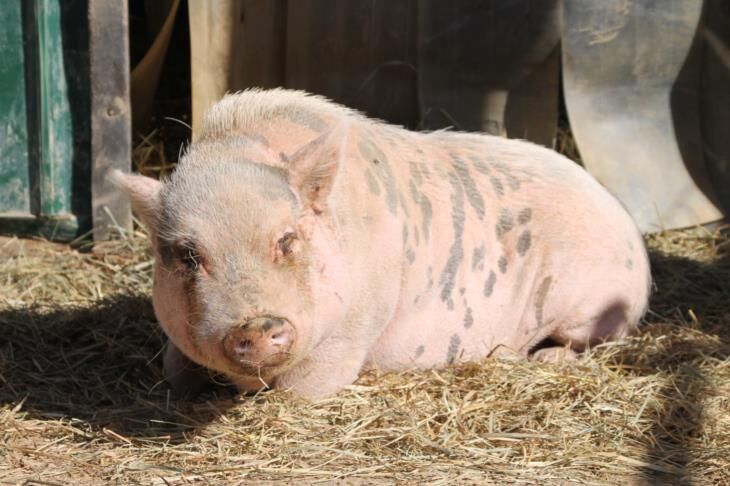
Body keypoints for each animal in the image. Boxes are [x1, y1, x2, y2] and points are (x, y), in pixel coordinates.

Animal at [112, 88, 651, 398]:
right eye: (187, 255)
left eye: (287, 239)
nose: (258, 324)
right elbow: (174, 370)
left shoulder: (355, 327)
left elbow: (297, 394)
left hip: (594, 305)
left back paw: (539, 359)